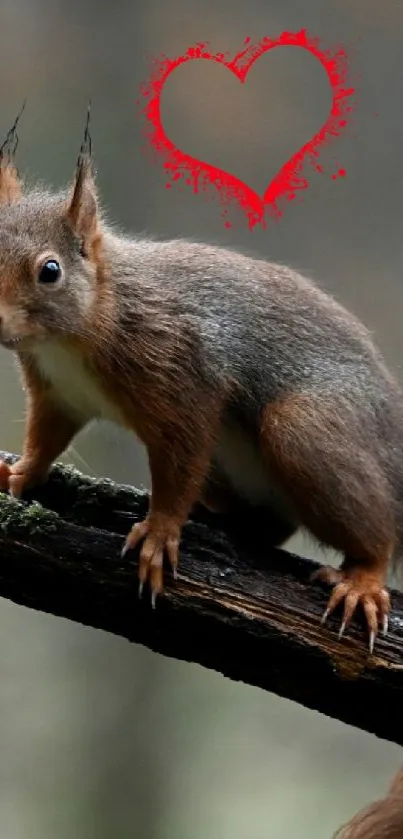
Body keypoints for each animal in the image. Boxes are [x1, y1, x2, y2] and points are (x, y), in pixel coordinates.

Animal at [0, 105, 401, 651]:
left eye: (50, 271)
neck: (74, 334)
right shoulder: (58, 393)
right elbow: (46, 438)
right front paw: (19, 472)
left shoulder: (183, 374)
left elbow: (179, 460)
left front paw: (160, 531)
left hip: (307, 429)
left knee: (378, 531)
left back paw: (363, 578)